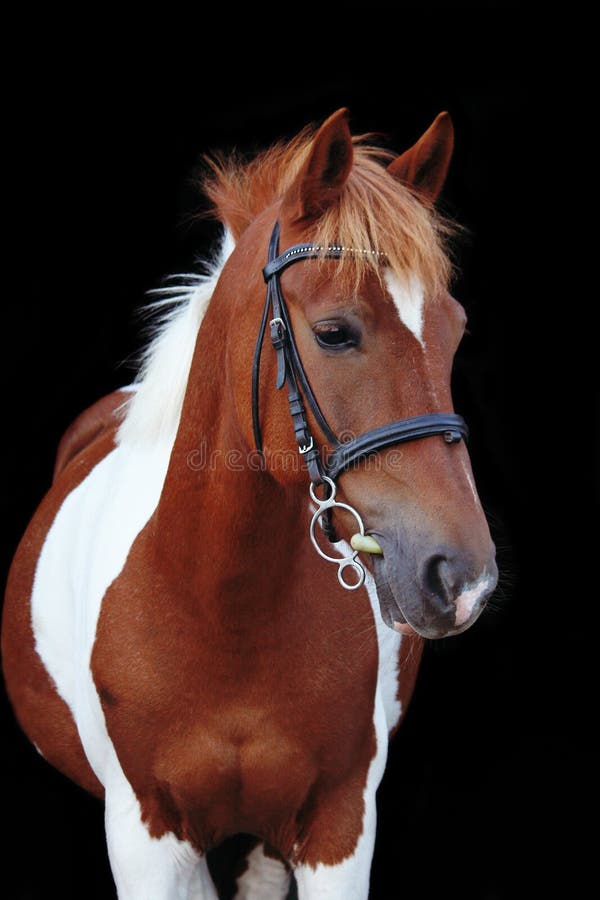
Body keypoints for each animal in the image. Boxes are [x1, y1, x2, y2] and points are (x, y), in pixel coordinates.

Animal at [2, 108, 498, 899]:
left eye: (453, 332)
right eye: (334, 332)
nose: (463, 579)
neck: (223, 608)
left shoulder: (337, 825)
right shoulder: (146, 838)